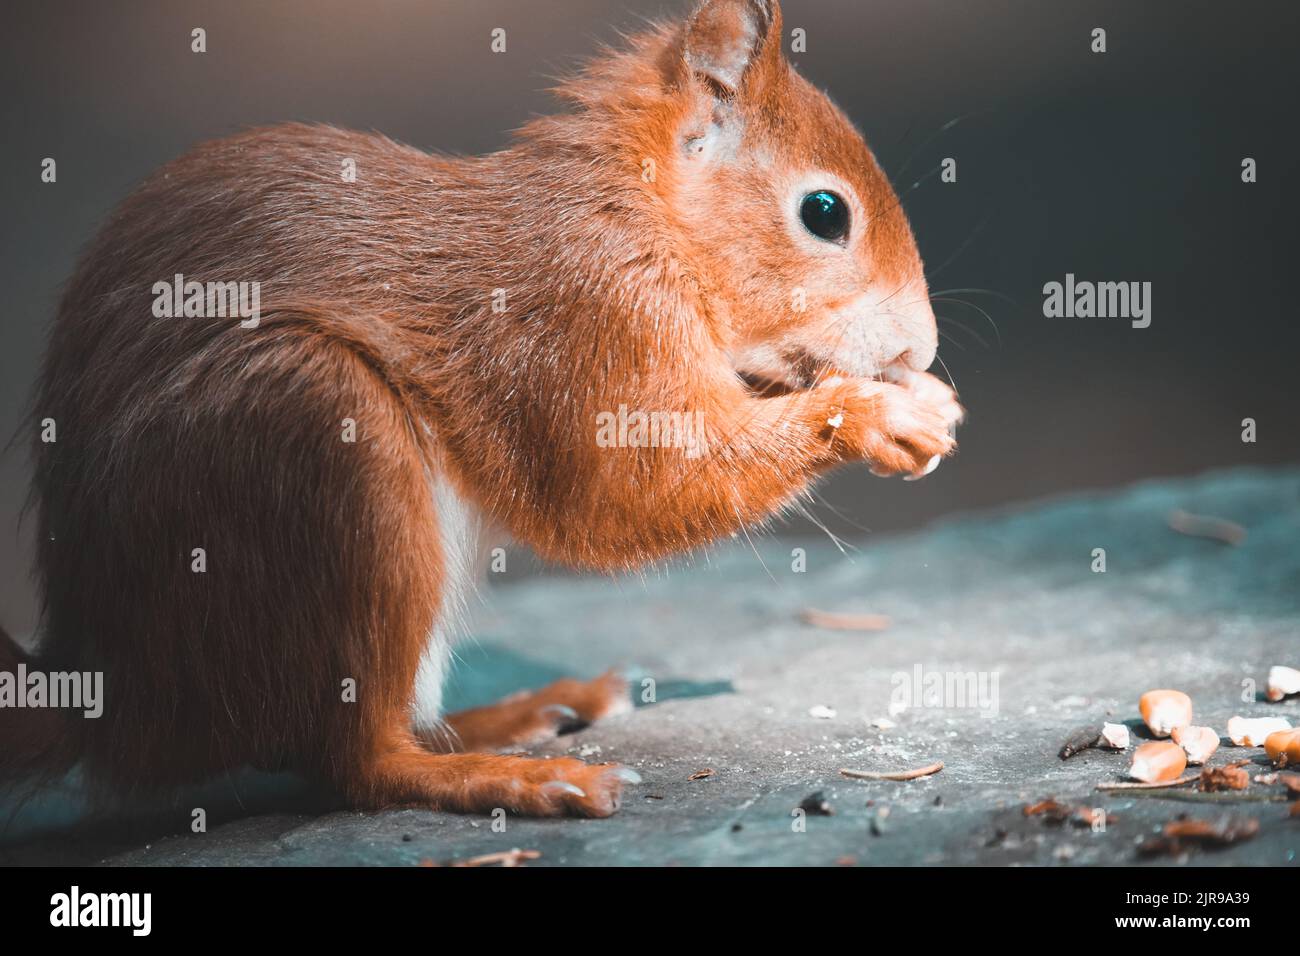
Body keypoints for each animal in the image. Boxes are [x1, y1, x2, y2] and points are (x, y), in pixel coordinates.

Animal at [2, 0, 961, 818]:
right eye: (825, 212)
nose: (919, 350)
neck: (640, 213)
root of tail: (114, 695)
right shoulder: (582, 319)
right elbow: (633, 486)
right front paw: (875, 414)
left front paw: (921, 400)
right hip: (315, 430)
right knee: (351, 761)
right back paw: (504, 775)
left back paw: (519, 715)